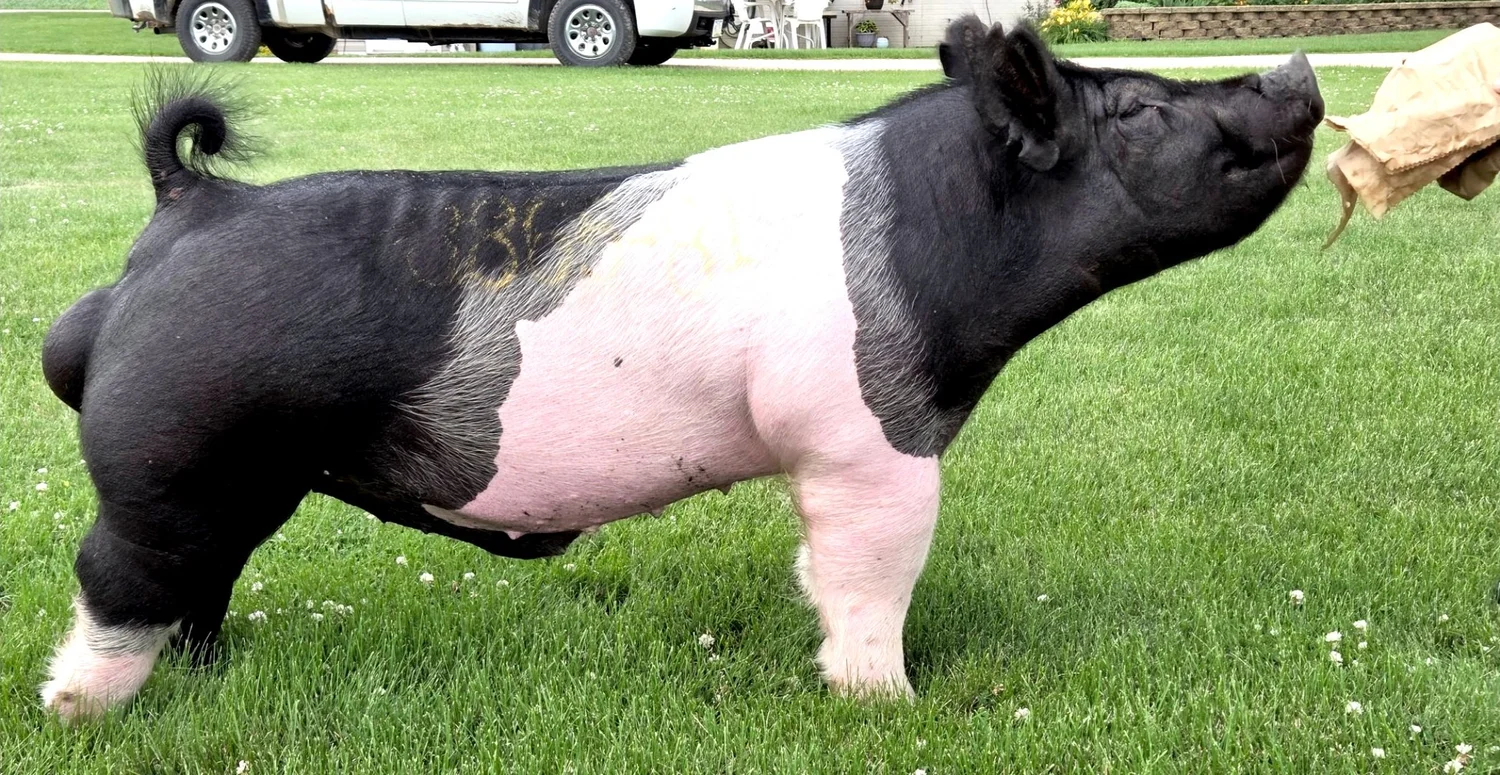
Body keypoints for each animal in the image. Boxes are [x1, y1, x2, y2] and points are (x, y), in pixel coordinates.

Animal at [38, 18, 1323, 721]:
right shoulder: (870, 438)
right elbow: (874, 576)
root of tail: (187, 208)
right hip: (173, 457)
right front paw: (889, 706)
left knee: (202, 586)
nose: (1301, 69)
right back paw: (80, 713)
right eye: (1142, 112)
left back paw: (213, 678)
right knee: (115, 574)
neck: (945, 229)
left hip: (236, 479)